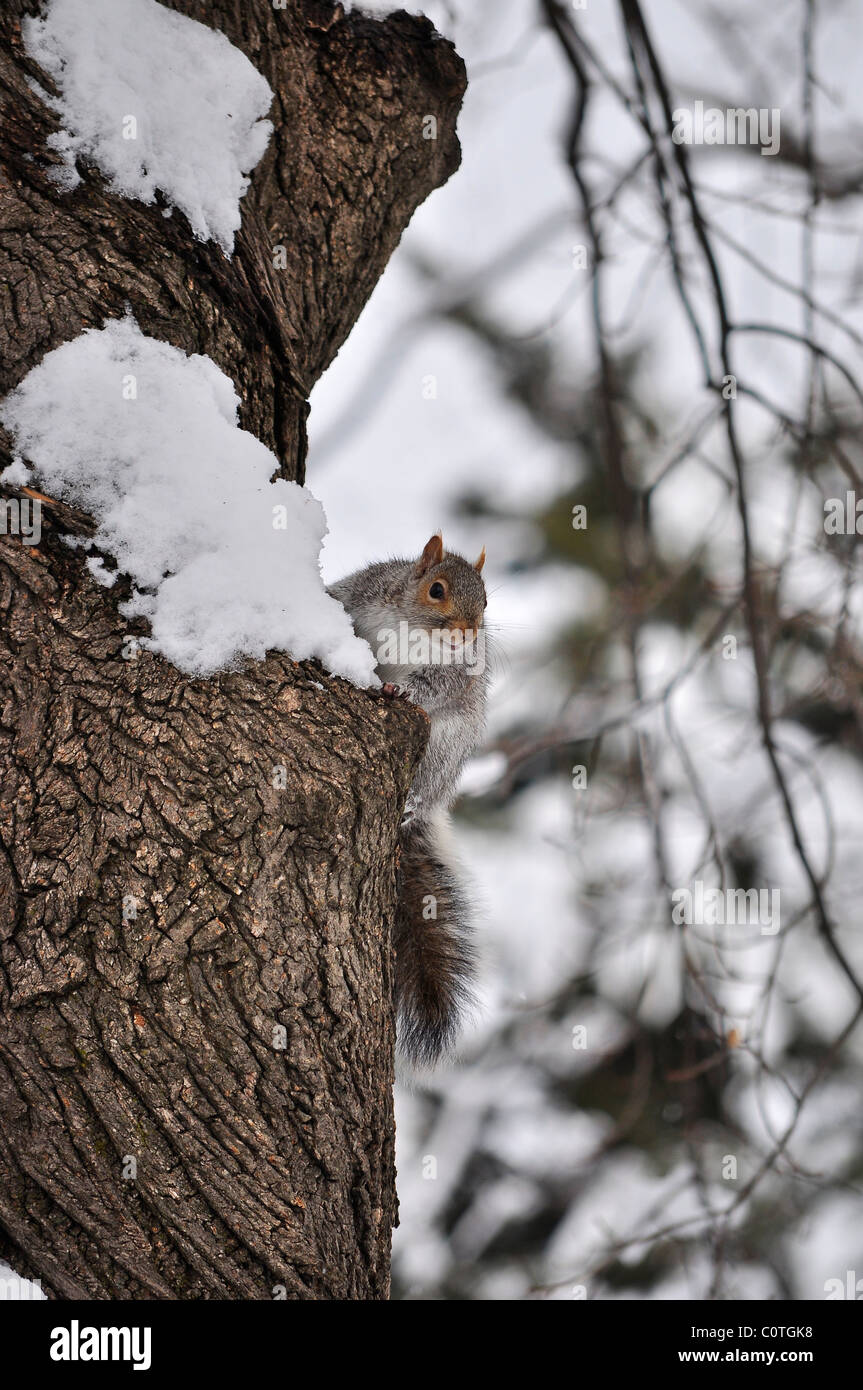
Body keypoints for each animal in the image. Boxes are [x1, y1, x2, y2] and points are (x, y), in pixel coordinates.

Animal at [328, 532, 488, 1067]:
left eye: (486, 601)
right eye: (436, 589)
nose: (467, 634)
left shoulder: (456, 675)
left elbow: (433, 685)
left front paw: (399, 687)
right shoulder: (362, 595)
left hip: (442, 752)